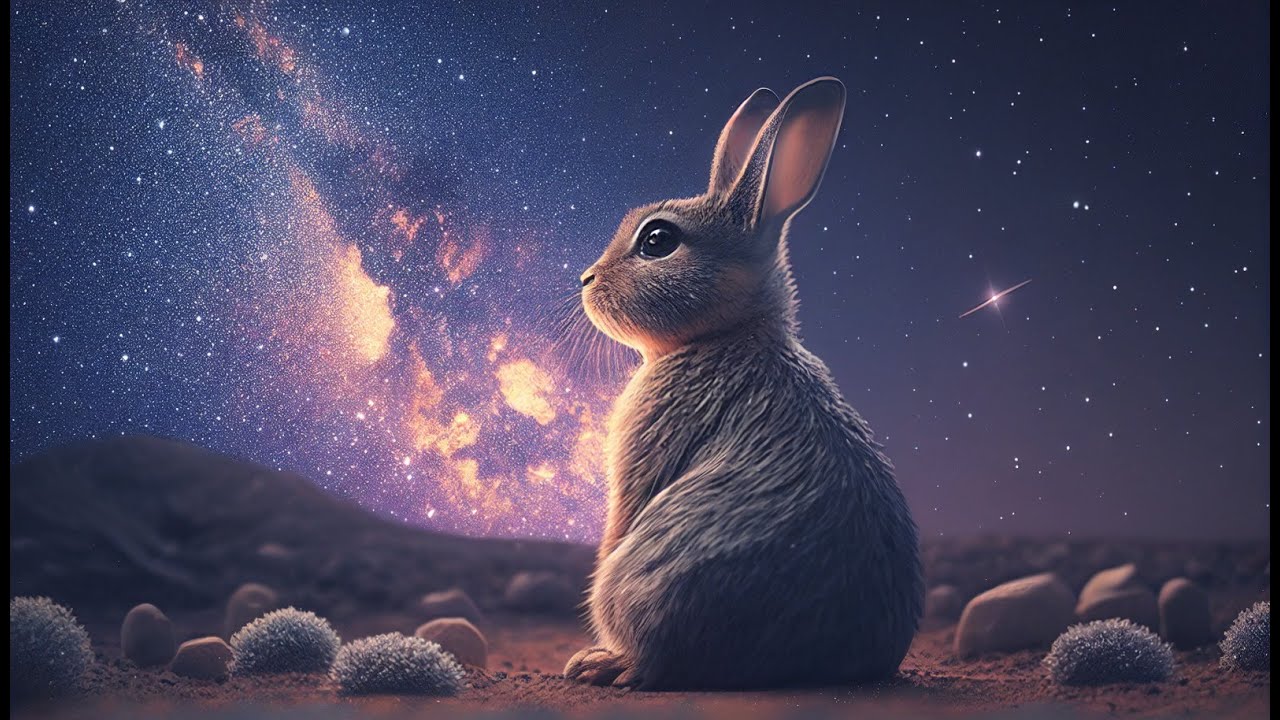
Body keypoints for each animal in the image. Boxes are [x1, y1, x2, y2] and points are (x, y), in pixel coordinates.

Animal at [565, 77, 922, 690]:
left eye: (656, 240)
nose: (587, 278)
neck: (726, 334)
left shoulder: (646, 454)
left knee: (652, 663)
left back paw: (601, 664)